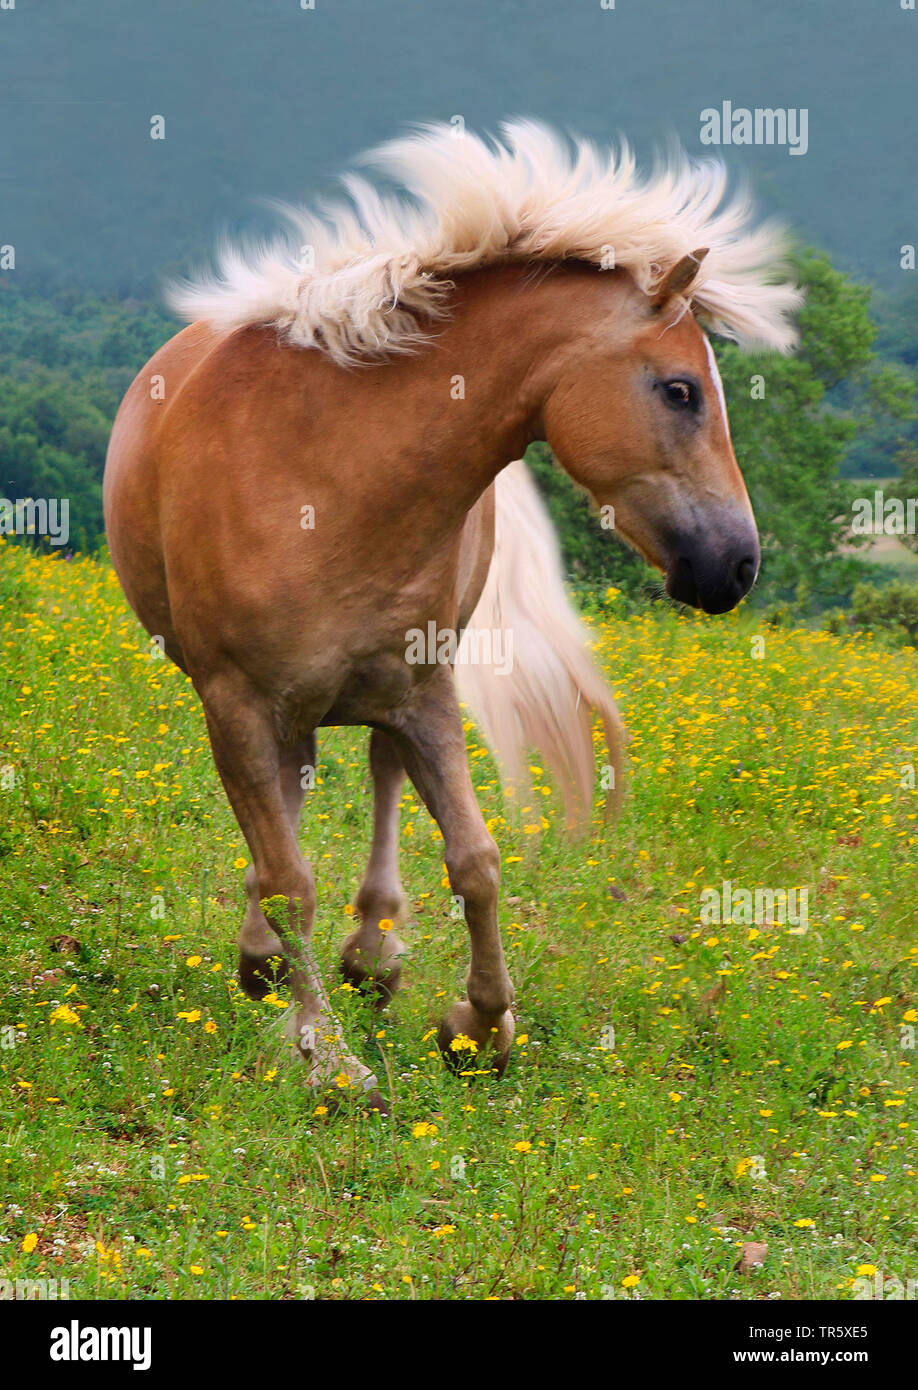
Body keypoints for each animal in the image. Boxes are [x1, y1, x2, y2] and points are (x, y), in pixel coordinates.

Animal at [103, 121, 800, 1108]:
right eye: (679, 390)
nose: (737, 565)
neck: (322, 473)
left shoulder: (423, 693)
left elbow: (475, 861)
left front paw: (478, 1026)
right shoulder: (233, 701)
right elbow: (288, 878)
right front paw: (329, 1054)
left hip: (390, 689)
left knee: (375, 773)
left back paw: (368, 954)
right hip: (279, 707)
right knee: (288, 809)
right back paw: (277, 963)